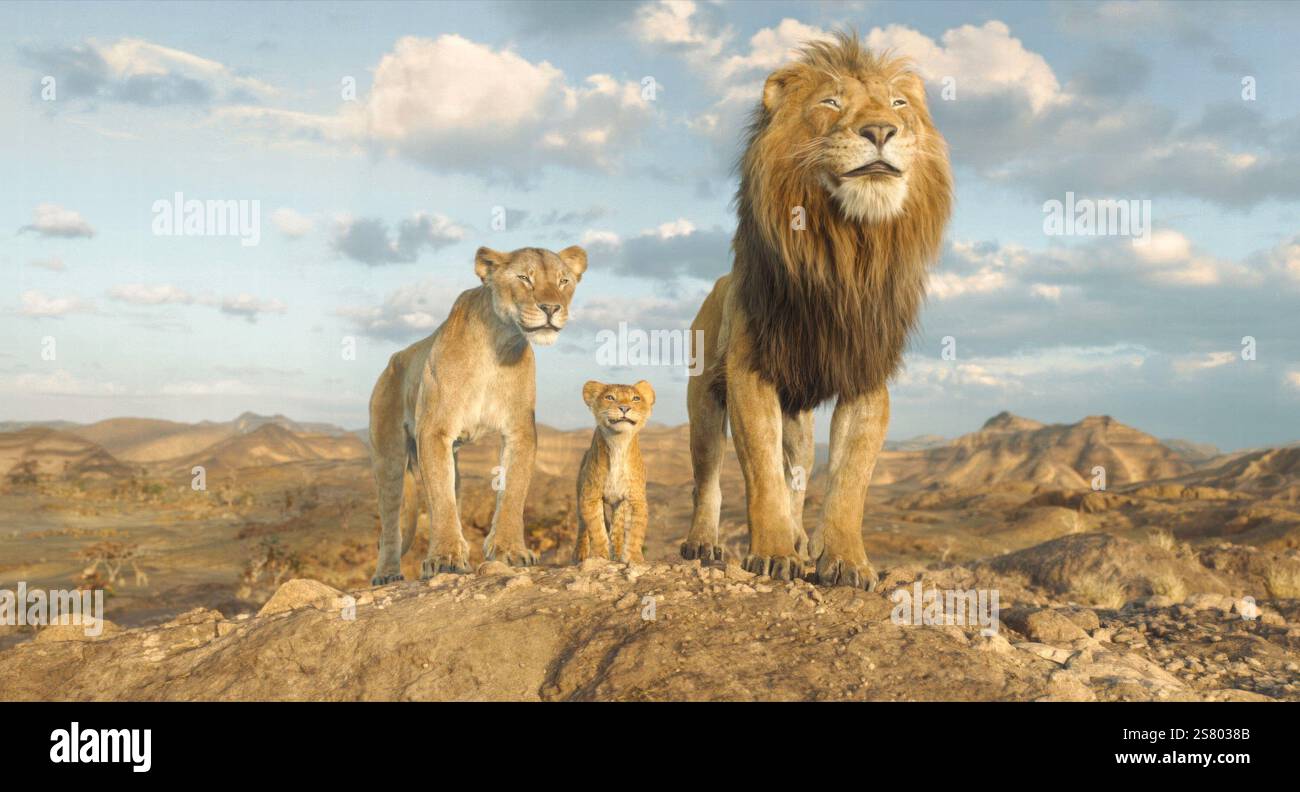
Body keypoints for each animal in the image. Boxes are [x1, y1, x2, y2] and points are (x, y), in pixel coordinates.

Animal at [368, 245, 587, 585]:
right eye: (524, 278)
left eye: (563, 281)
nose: (552, 307)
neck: (498, 344)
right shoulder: (434, 430)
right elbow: (440, 499)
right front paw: (444, 557)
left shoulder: (519, 430)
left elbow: (513, 491)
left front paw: (510, 550)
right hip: (388, 456)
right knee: (391, 521)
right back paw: (387, 574)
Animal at [574, 380, 654, 564]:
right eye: (610, 397)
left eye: (635, 398)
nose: (624, 408)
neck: (618, 443)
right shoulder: (590, 496)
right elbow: (596, 529)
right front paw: (600, 556)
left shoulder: (636, 498)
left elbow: (636, 531)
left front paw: (633, 558)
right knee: (582, 525)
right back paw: (580, 554)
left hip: (620, 504)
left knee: (617, 526)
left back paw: (617, 552)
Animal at [682, 33, 952, 588]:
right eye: (830, 102)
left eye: (899, 104)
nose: (881, 130)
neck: (846, 248)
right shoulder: (750, 372)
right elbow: (761, 475)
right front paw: (771, 553)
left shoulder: (866, 375)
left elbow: (850, 481)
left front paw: (846, 561)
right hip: (702, 402)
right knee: (708, 478)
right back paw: (704, 543)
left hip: (799, 423)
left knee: (799, 475)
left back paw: (801, 538)